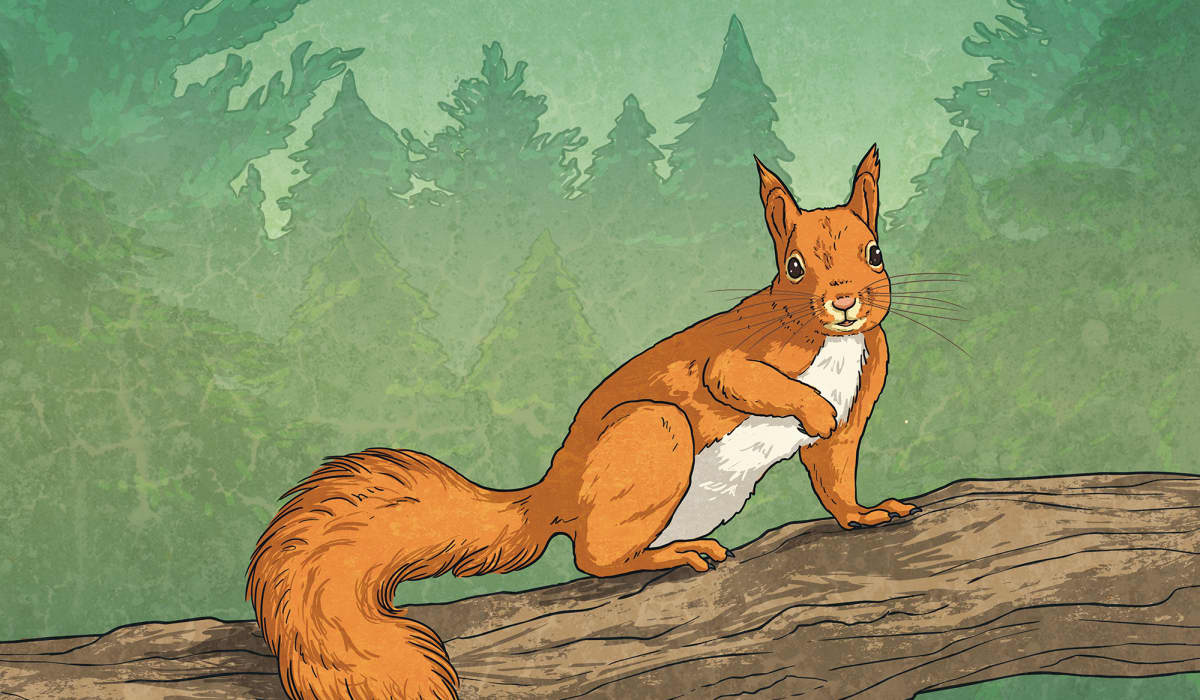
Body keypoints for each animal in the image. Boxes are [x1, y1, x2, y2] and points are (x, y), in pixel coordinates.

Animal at [247, 145, 918, 700]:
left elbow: (835, 471)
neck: (835, 343)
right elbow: (736, 377)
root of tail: (555, 495)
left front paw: (863, 513)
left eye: (876, 254)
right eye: (795, 266)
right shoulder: (741, 355)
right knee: (594, 557)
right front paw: (813, 409)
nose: (845, 302)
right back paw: (667, 557)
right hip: (655, 433)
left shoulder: (862, 396)